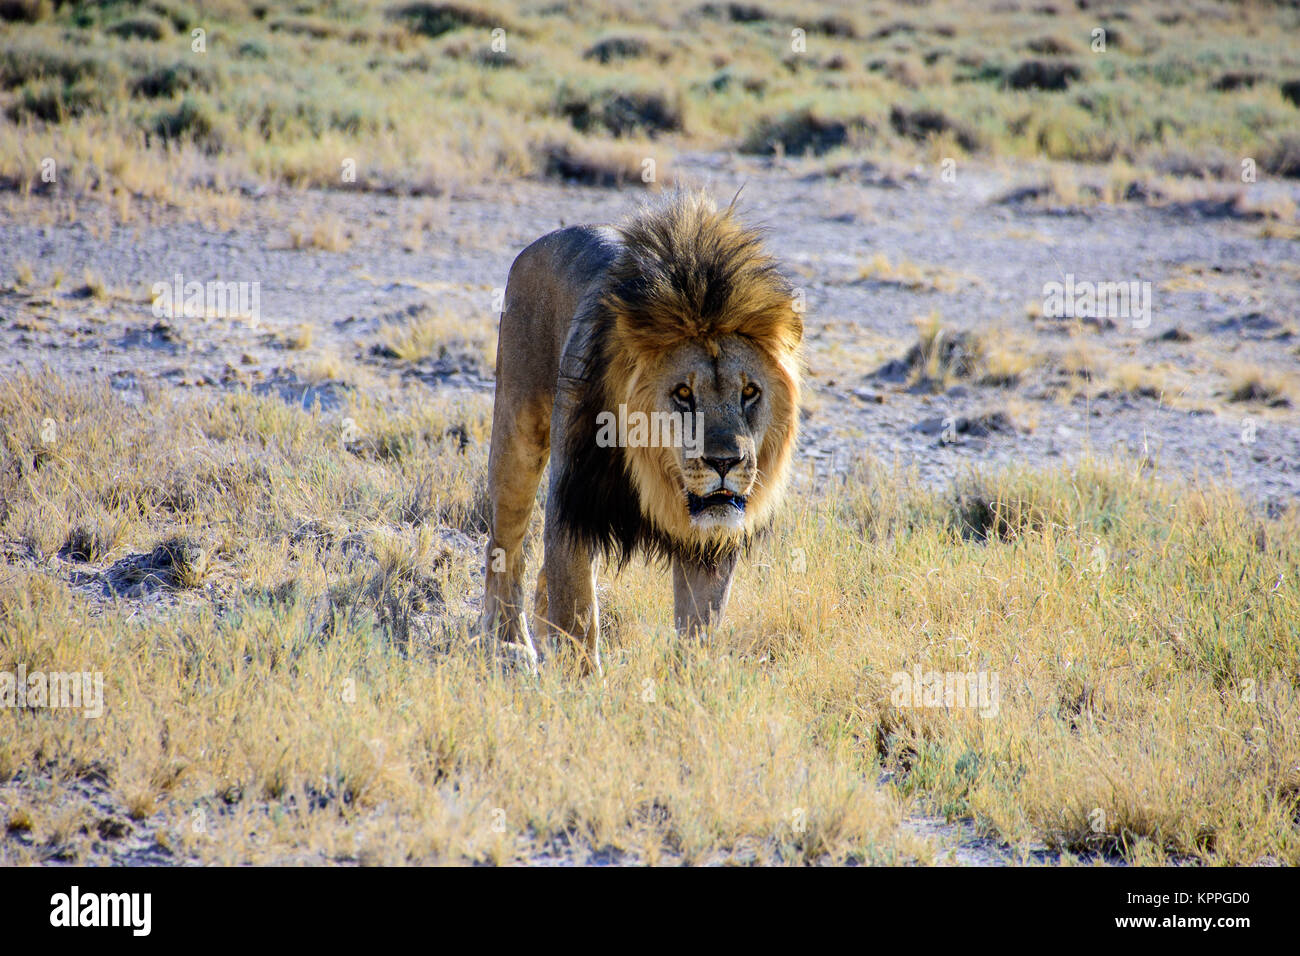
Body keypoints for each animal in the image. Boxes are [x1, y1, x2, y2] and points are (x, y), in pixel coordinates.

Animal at [479, 191, 802, 674]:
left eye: (750, 392)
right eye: (683, 393)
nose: (725, 462)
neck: (655, 476)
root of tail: (537, 244)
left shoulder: (710, 540)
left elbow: (699, 626)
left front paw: (690, 682)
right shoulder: (573, 505)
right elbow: (578, 611)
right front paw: (582, 683)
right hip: (518, 437)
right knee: (505, 548)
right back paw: (509, 643)